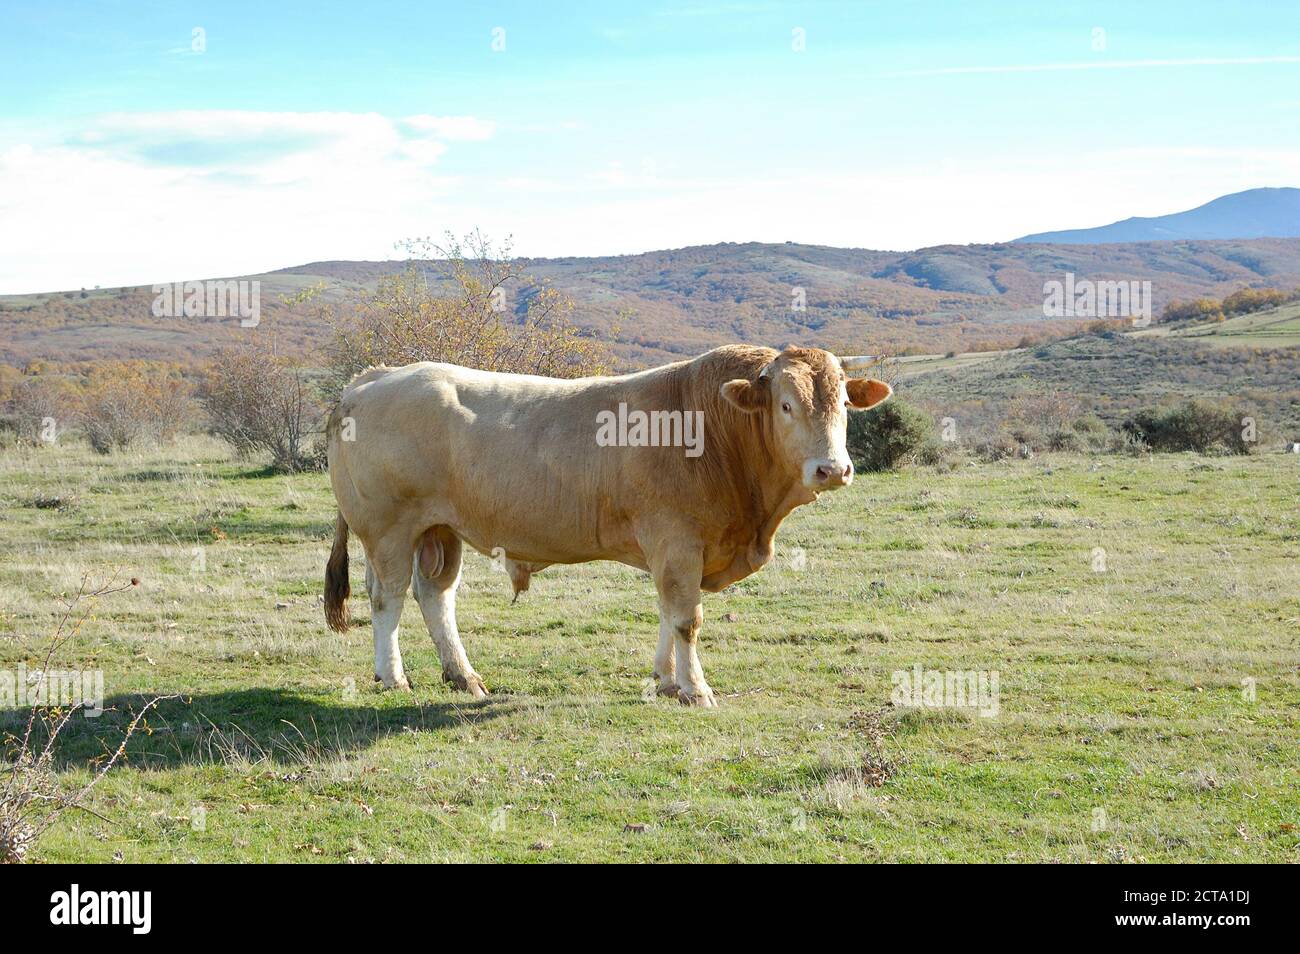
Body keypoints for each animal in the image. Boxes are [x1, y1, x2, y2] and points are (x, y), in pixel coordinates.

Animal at [324, 345, 892, 707]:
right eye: (786, 404)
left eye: (844, 403)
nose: (833, 469)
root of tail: (374, 376)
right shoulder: (677, 541)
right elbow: (687, 619)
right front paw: (697, 689)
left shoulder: (673, 553)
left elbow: (667, 613)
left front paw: (666, 681)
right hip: (389, 529)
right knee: (388, 598)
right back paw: (393, 677)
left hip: (439, 529)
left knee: (434, 595)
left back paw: (463, 677)